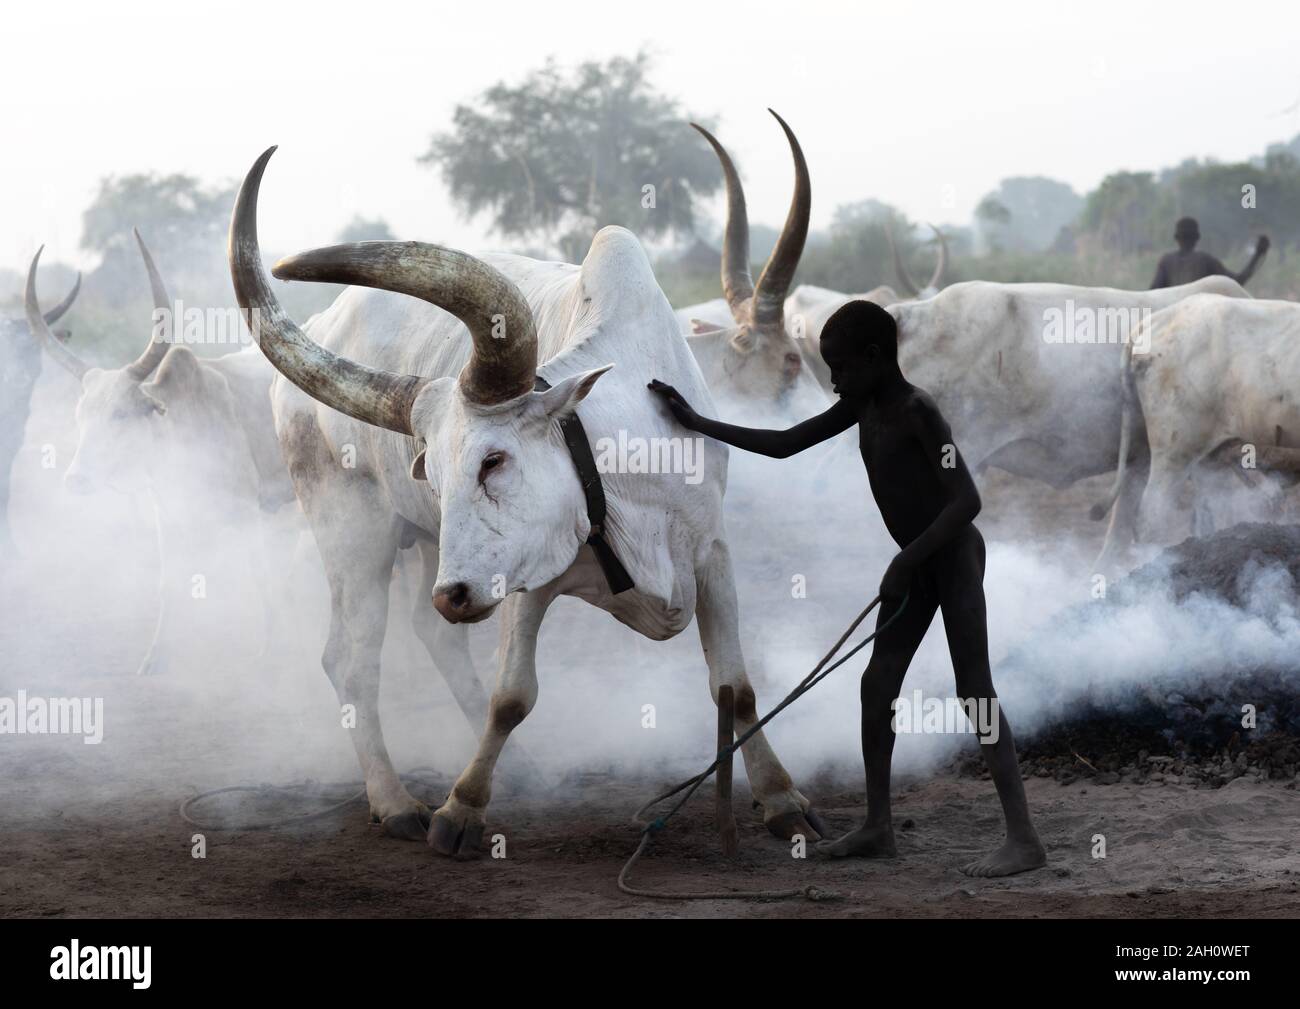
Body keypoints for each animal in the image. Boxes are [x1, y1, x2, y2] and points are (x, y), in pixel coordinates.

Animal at [25, 231, 295, 675]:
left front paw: (269, 652)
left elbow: (260, 578)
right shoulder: (167, 515)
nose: (76, 479)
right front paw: (156, 656)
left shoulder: (246, 511)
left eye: (121, 413)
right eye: (80, 416)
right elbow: (170, 582)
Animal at [228, 147, 823, 854]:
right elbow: (512, 696)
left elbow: (735, 686)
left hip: (430, 550)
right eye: (435, 475)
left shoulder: (711, 553)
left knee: (429, 635)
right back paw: (394, 801)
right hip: (354, 533)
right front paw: (460, 811)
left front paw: (782, 798)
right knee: (352, 661)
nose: (455, 594)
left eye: (493, 460)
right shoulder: (525, 581)